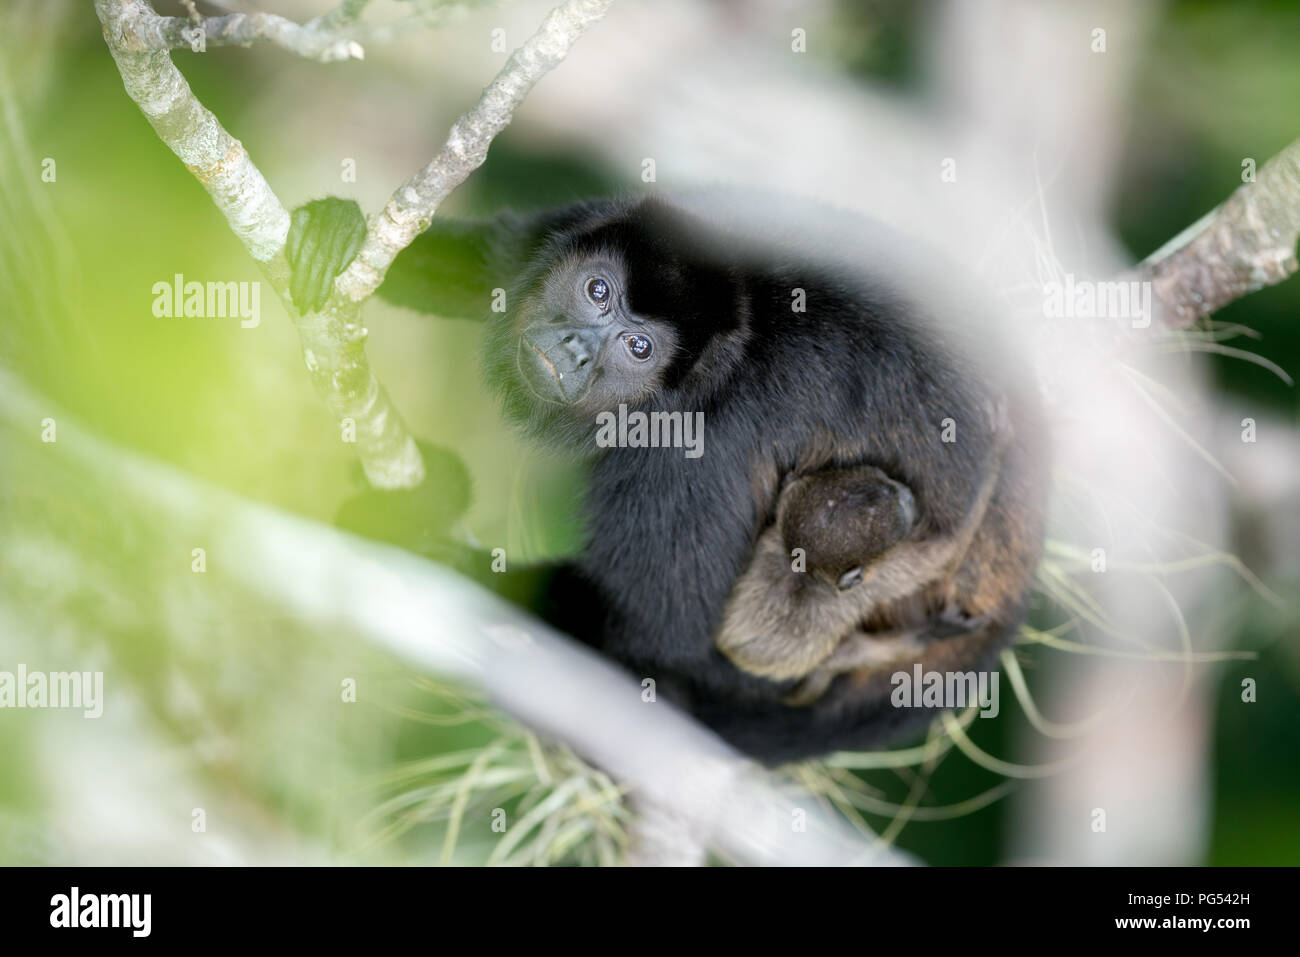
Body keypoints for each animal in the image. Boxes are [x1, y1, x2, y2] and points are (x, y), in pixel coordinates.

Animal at [286, 192, 1049, 764]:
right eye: (597, 291)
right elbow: (489, 264)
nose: (575, 346)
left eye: (637, 346)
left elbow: (657, 643)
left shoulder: (702, 450)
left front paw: (418, 536)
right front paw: (336, 237)